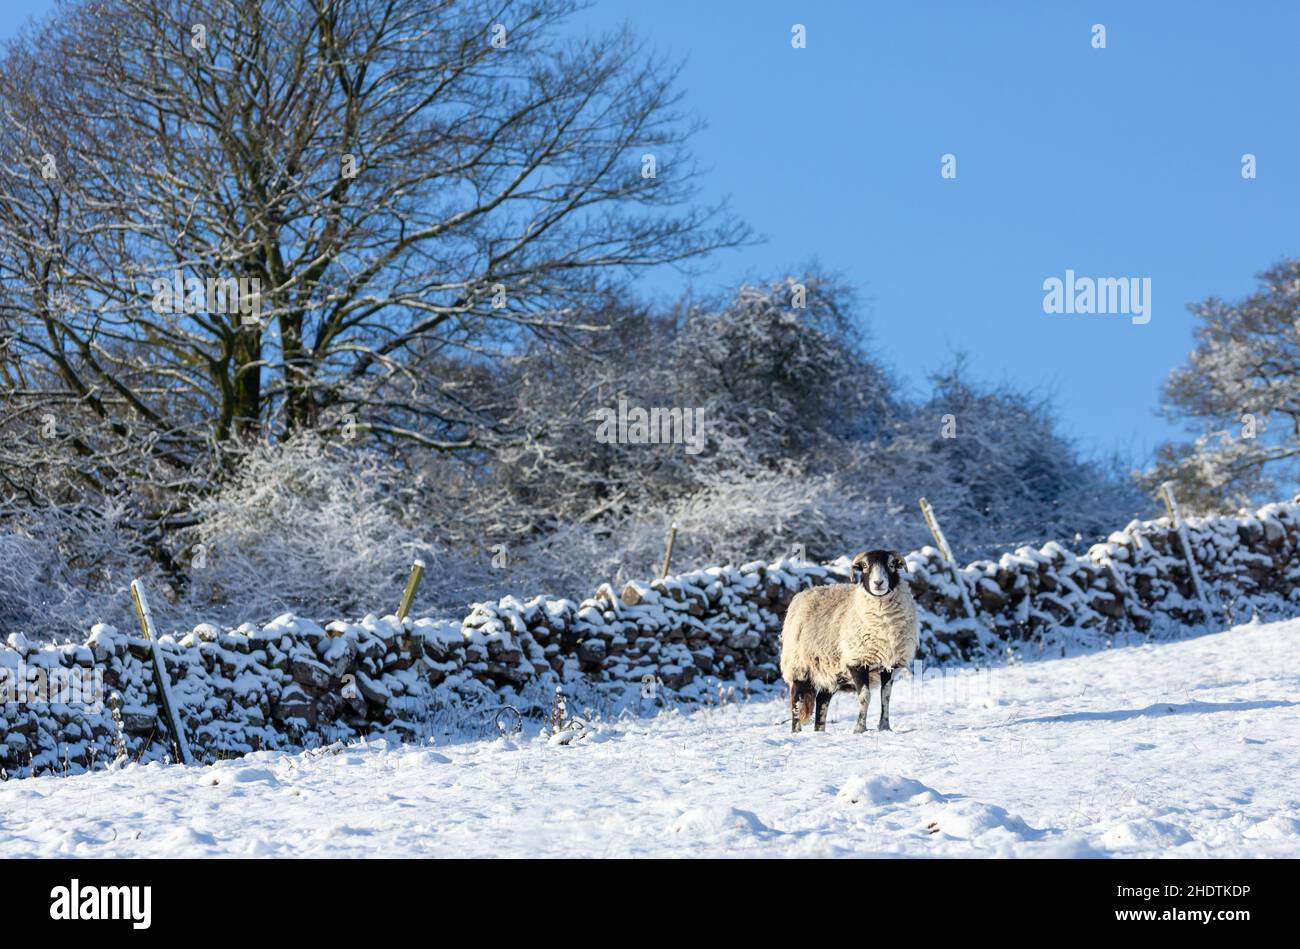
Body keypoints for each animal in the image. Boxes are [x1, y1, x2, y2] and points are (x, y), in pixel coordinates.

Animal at [780, 549, 919, 733]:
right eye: (865, 566)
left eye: (891, 564)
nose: (878, 583)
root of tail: (805, 592)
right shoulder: (857, 661)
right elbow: (865, 696)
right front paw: (860, 728)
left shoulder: (889, 665)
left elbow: (886, 696)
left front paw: (885, 727)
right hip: (798, 667)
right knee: (796, 702)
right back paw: (796, 732)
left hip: (828, 671)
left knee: (822, 701)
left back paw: (820, 732)